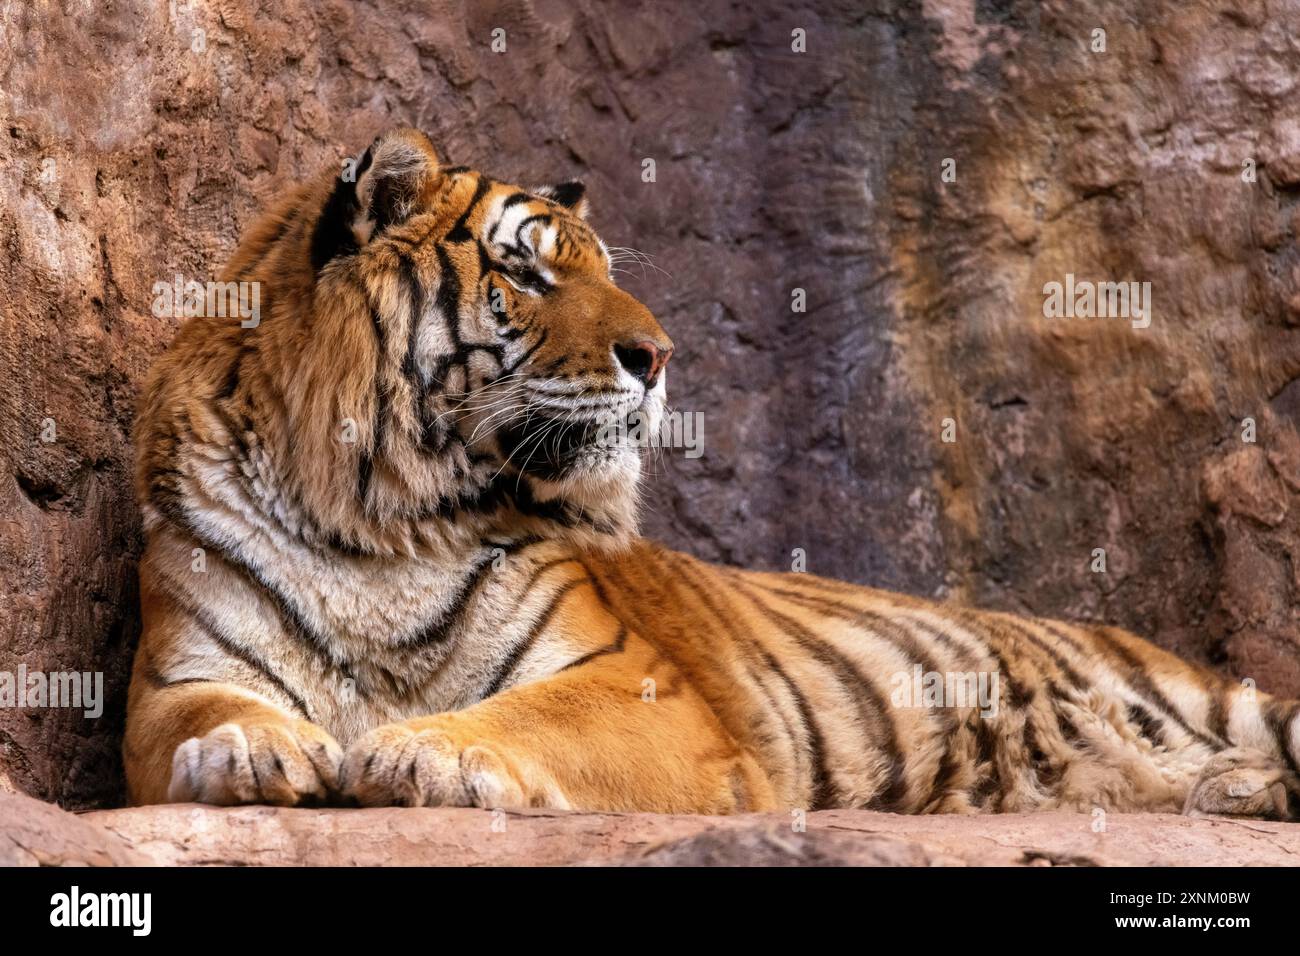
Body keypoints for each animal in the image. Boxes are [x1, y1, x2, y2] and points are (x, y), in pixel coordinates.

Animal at [125, 127, 1300, 819]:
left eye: (603, 268)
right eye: (525, 270)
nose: (658, 355)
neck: (385, 520)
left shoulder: (645, 688)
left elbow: (527, 719)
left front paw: (421, 752)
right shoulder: (171, 677)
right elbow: (197, 719)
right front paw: (250, 749)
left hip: (1218, 700)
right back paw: (1228, 795)